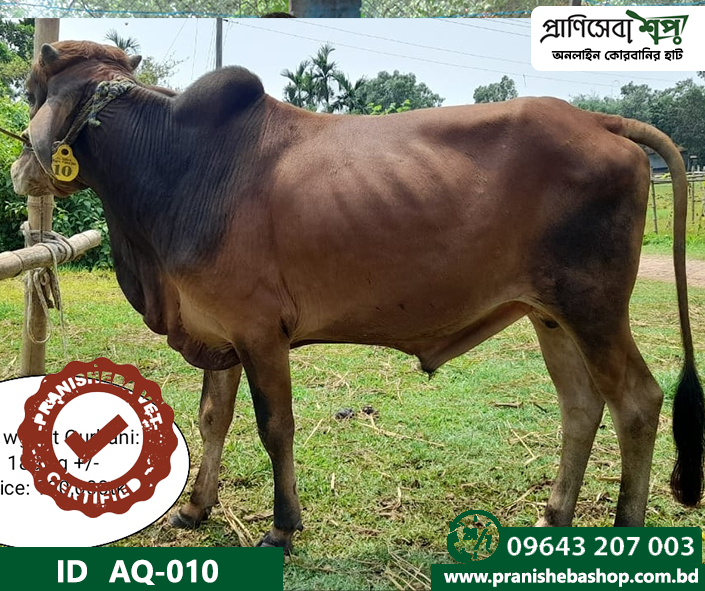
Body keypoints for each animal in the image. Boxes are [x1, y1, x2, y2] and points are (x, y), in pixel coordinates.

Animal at [10, 41, 704, 554]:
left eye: (32, 92)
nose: (19, 169)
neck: (176, 166)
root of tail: (598, 120)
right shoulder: (221, 331)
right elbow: (213, 417)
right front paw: (197, 508)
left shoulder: (260, 332)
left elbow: (275, 427)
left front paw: (282, 527)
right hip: (550, 315)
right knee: (581, 406)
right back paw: (555, 515)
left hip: (594, 309)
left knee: (637, 402)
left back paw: (625, 530)